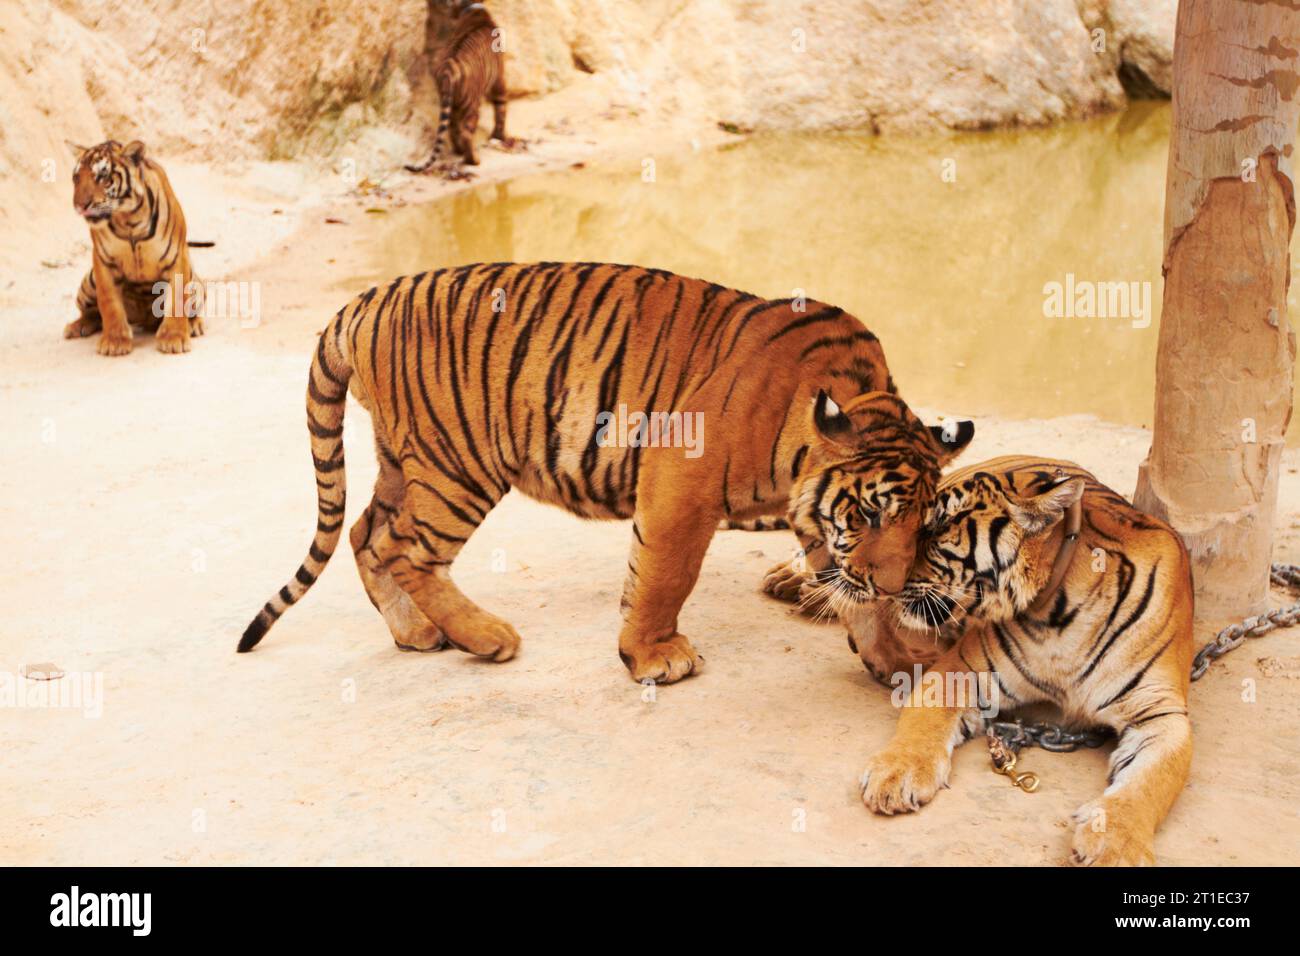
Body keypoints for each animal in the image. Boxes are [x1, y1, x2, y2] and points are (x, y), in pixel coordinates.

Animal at [64, 139, 204, 356]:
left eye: (102, 178)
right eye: (76, 178)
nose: (80, 206)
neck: (128, 220)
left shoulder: (177, 257)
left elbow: (177, 301)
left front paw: (174, 338)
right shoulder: (103, 261)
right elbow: (109, 303)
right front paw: (114, 341)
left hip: (196, 282)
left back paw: (194, 325)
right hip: (89, 281)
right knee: (92, 312)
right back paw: (77, 326)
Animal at [236, 262, 974, 685]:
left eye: (921, 526)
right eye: (870, 513)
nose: (898, 583)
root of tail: (359, 304)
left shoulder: (818, 525)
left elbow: (853, 595)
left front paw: (891, 658)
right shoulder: (681, 476)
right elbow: (667, 573)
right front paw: (653, 656)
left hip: (405, 457)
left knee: (365, 534)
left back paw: (417, 633)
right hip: (457, 464)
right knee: (404, 548)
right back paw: (486, 638)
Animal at [405, 0, 518, 178]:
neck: (471, 7)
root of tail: (448, 71)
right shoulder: (499, 79)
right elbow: (501, 109)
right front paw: (500, 136)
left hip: (452, 103)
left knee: (452, 128)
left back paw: (459, 151)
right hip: (471, 105)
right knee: (466, 133)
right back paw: (473, 160)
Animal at [859, 456, 1194, 866]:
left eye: (938, 528)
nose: (884, 577)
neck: (1062, 614)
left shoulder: (1159, 713)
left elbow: (1150, 783)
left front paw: (1116, 845)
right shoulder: (963, 668)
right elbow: (923, 722)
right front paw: (896, 773)